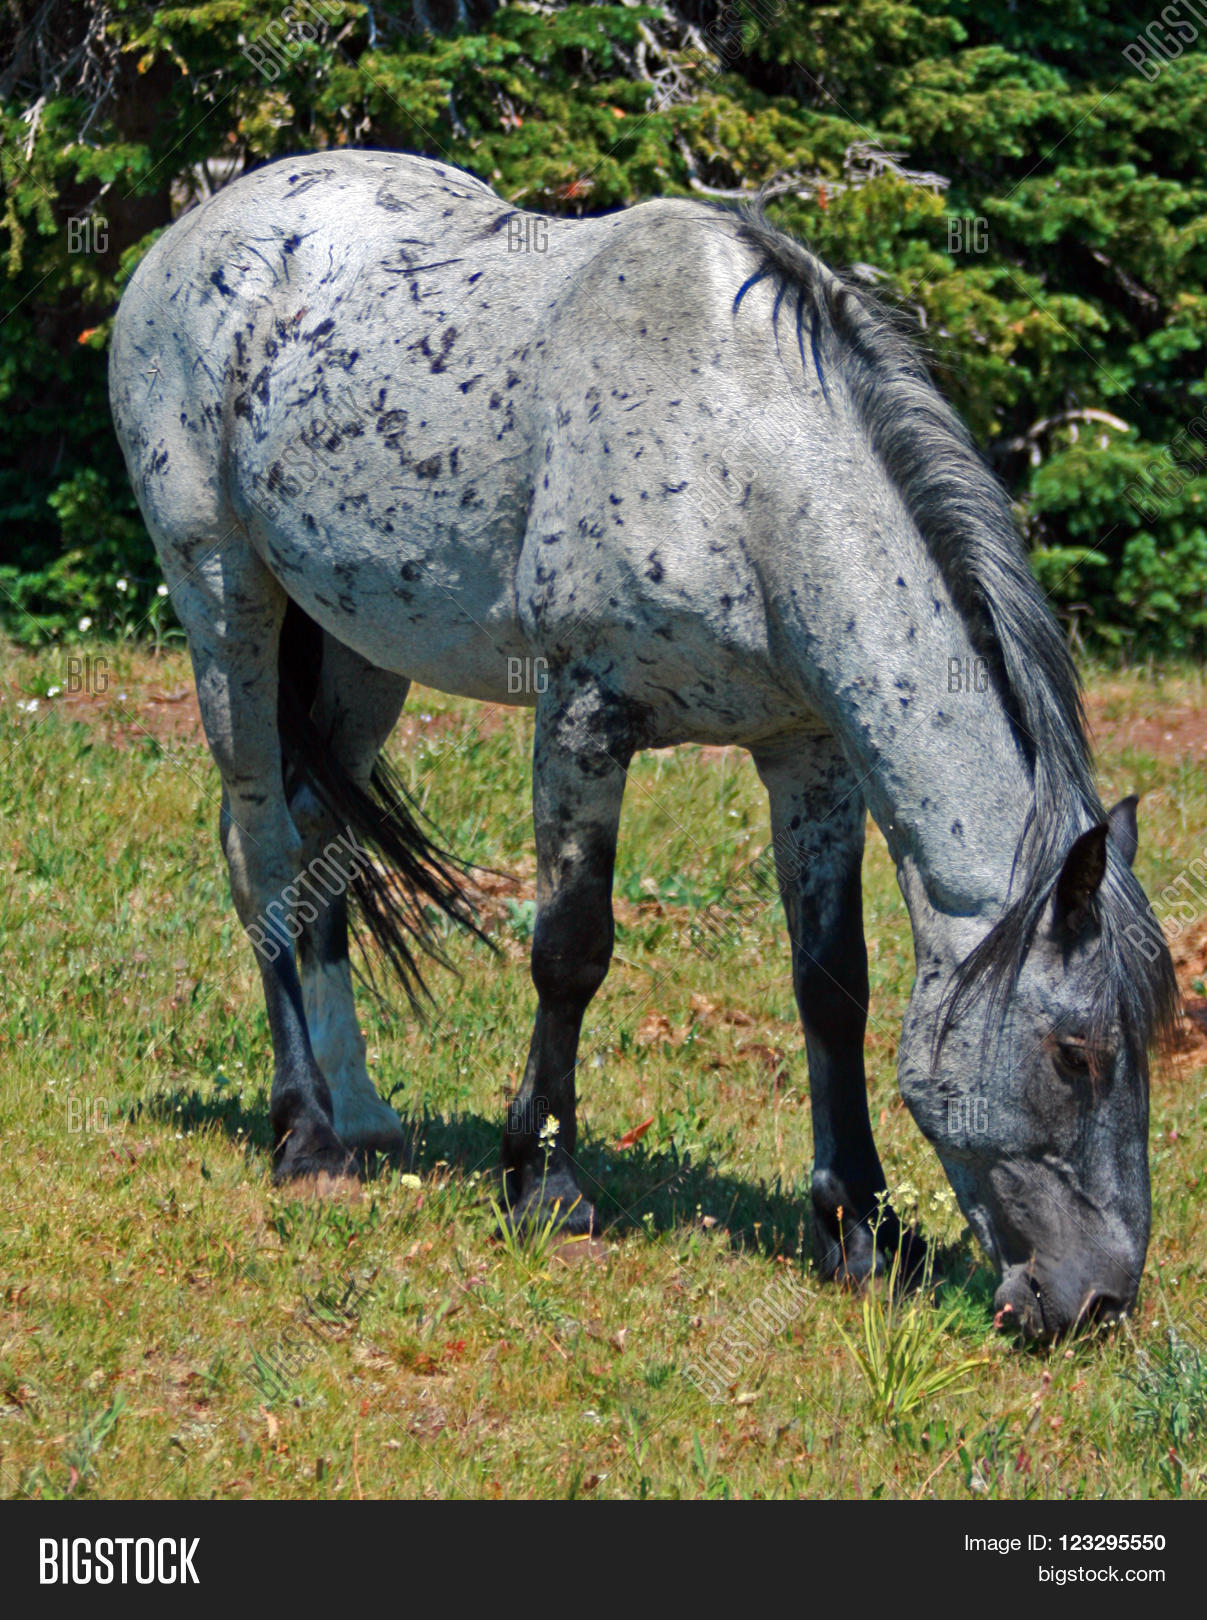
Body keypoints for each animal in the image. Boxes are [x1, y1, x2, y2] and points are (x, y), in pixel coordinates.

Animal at [109, 149, 1179, 1340]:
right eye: (1075, 1053)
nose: (1097, 1299)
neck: (739, 457)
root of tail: (194, 233)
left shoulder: (808, 755)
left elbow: (832, 984)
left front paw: (858, 1228)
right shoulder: (585, 715)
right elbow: (569, 950)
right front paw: (544, 1186)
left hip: (354, 646)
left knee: (322, 845)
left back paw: (363, 1106)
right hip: (224, 597)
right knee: (261, 848)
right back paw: (306, 1135)